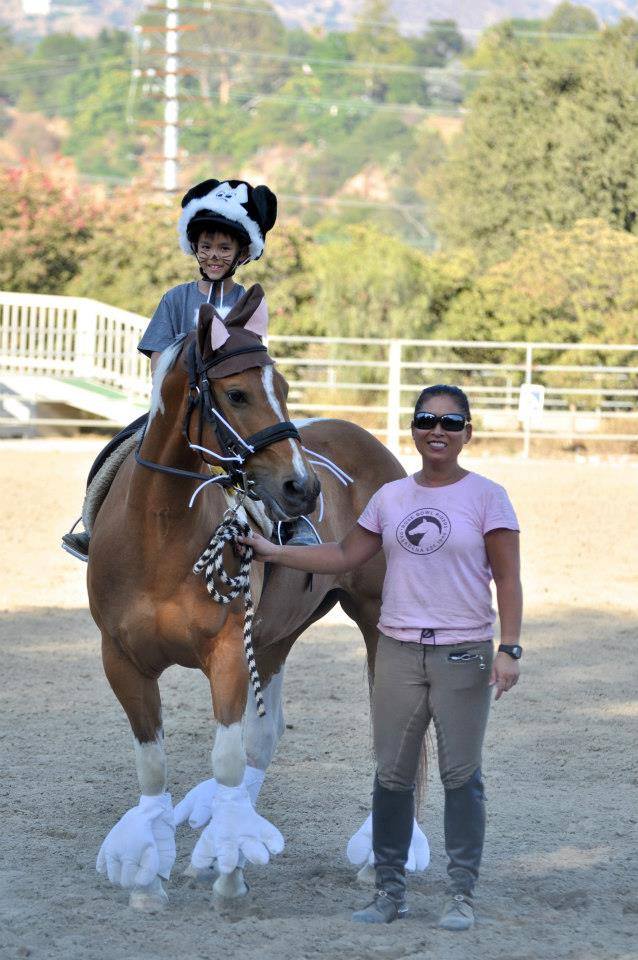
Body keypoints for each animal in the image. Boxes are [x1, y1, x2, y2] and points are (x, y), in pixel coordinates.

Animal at [86, 285, 410, 910]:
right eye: (235, 394)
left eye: (281, 387)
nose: (302, 488)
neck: (159, 534)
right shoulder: (122, 661)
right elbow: (153, 767)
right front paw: (149, 880)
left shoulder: (228, 655)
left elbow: (227, 759)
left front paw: (230, 876)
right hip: (276, 635)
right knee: (268, 734)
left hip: (376, 622)